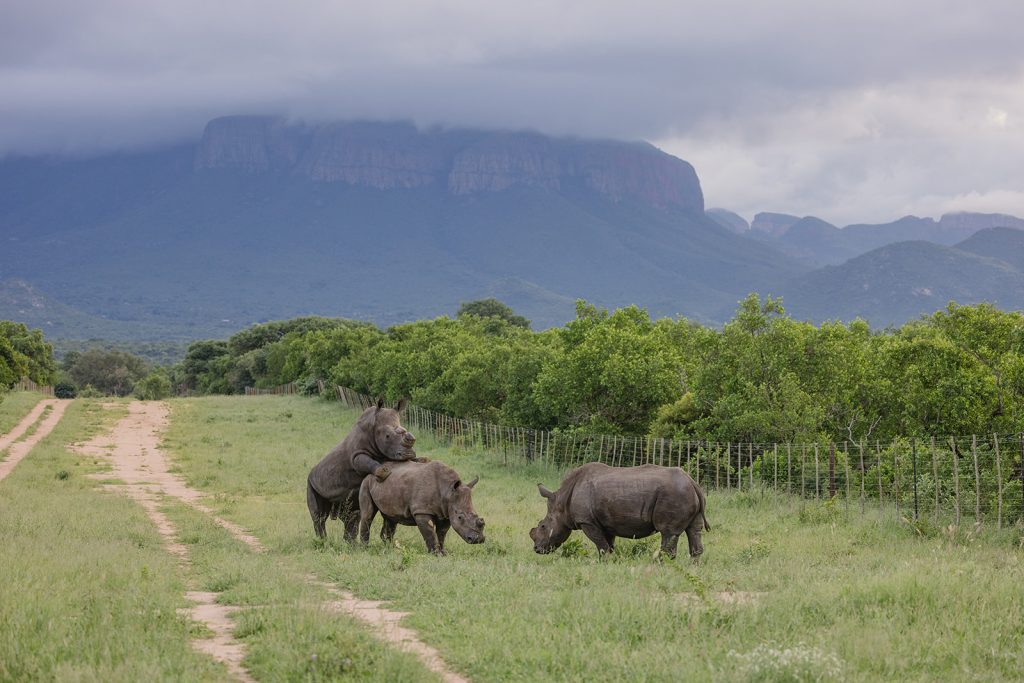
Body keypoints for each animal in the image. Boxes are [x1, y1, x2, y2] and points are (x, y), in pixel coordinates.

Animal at [306, 398, 418, 540]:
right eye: (387, 436)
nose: (409, 453)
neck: (373, 426)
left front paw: (419, 459)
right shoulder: (356, 455)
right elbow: (364, 461)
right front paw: (383, 472)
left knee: (352, 516)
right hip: (311, 482)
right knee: (319, 516)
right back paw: (322, 540)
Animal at [529, 462, 709, 559]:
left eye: (543, 526)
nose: (537, 549)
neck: (561, 501)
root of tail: (692, 482)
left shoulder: (587, 521)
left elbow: (601, 546)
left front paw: (605, 562)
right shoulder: (604, 523)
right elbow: (608, 545)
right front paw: (609, 562)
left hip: (675, 494)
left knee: (668, 533)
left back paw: (659, 566)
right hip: (686, 493)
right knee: (694, 531)